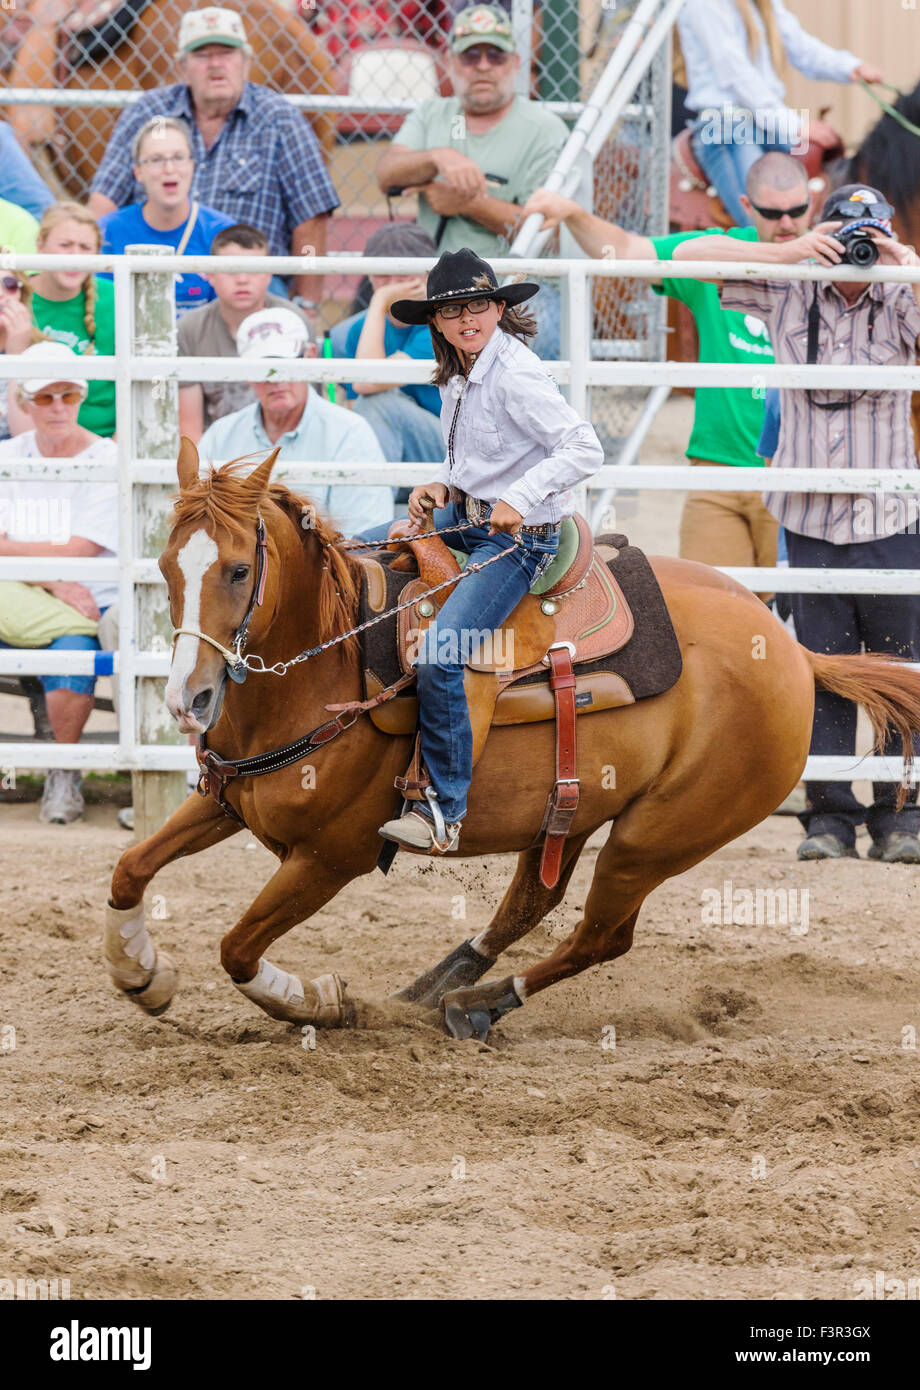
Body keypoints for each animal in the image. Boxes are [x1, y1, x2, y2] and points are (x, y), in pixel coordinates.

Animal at [104, 439, 920, 1039]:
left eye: (240, 569)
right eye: (168, 567)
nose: (188, 699)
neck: (331, 663)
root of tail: (794, 655)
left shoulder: (330, 858)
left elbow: (238, 948)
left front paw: (323, 1001)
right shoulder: (228, 801)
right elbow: (129, 870)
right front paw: (141, 974)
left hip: (658, 836)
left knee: (600, 936)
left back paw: (477, 1004)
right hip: (573, 811)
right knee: (529, 905)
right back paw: (434, 987)